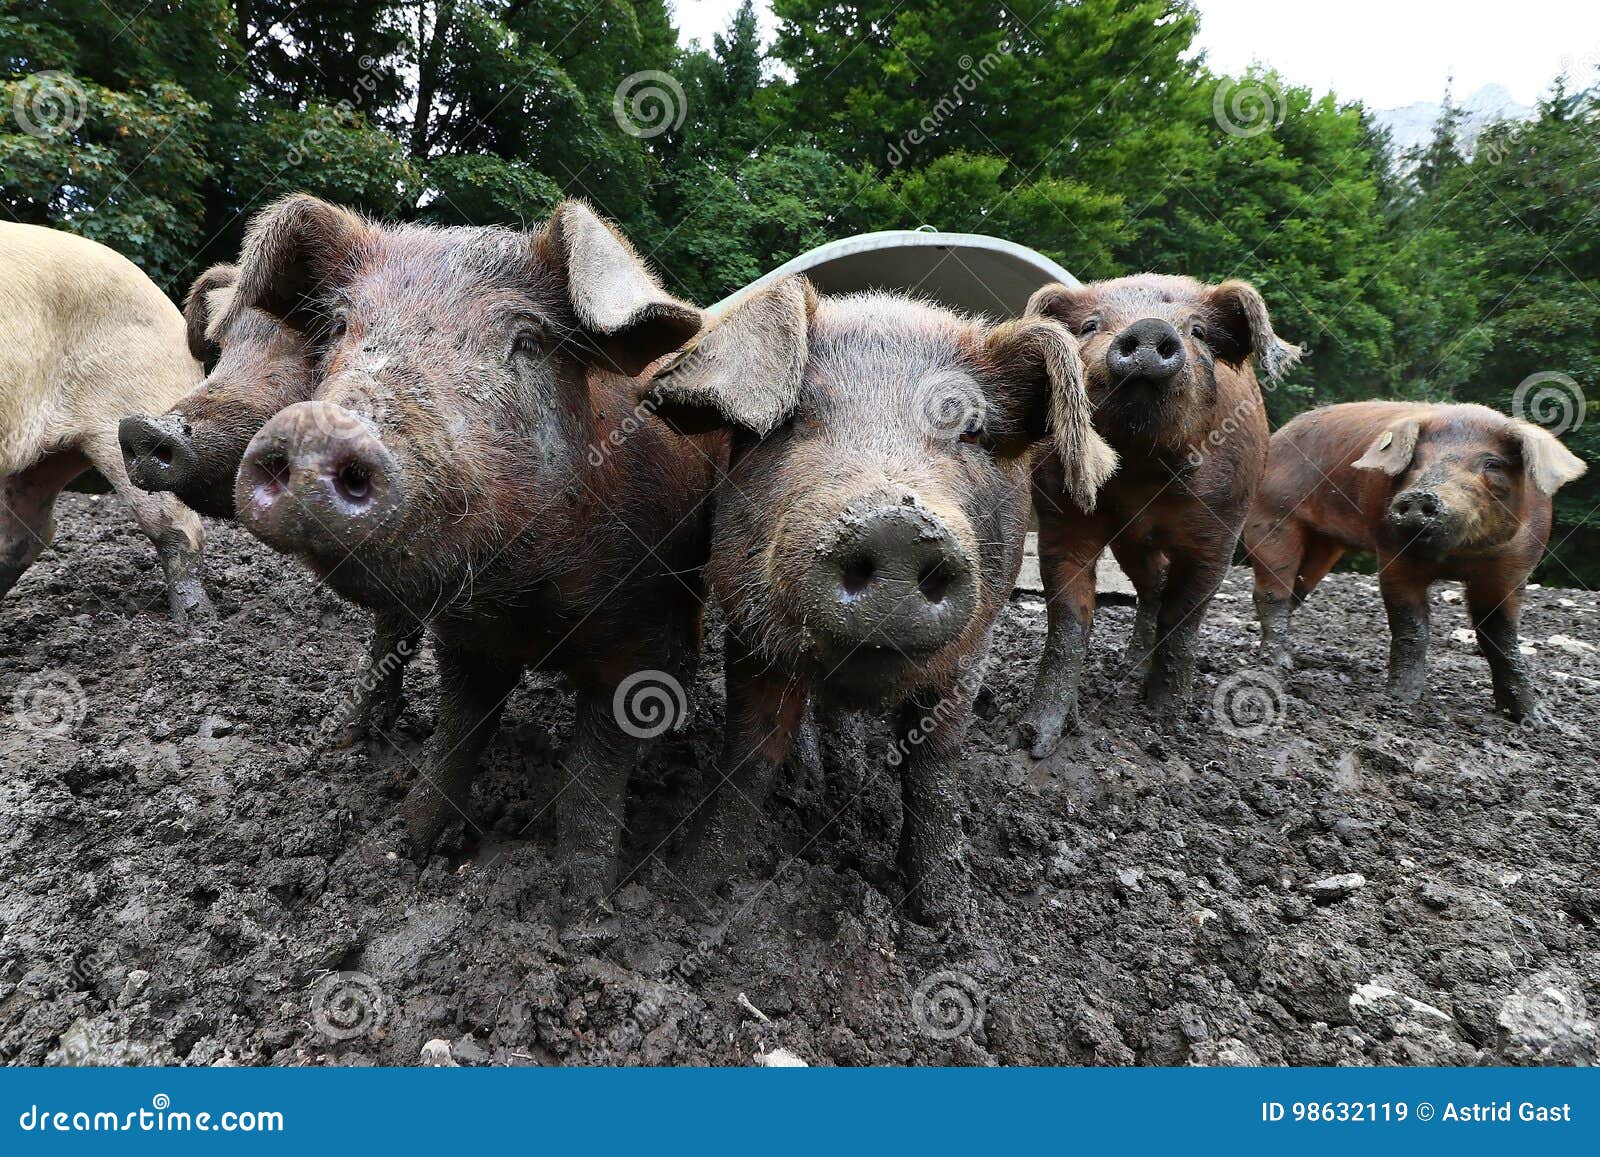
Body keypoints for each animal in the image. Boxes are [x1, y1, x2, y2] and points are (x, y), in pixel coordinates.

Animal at [225, 194, 711, 921]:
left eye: (528, 340)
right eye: (339, 325)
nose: (318, 430)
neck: (528, 603)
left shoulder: (642, 634)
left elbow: (595, 774)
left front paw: (584, 903)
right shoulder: (465, 637)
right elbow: (457, 733)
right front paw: (409, 849)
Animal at [645, 277, 1116, 923]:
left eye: (971, 429)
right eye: (792, 418)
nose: (895, 523)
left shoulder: (975, 646)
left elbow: (935, 764)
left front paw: (944, 918)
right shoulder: (746, 625)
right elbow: (750, 748)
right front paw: (689, 892)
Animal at [1013, 274, 1301, 754]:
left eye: (1198, 331)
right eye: (1090, 325)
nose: (1149, 328)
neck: (1140, 472)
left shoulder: (1220, 535)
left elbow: (1183, 618)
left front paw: (1167, 719)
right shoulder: (1062, 520)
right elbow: (1069, 622)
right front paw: (1033, 741)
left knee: (1160, 591)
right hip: (1130, 545)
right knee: (1151, 588)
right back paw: (1129, 663)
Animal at [1244, 401, 1586, 720]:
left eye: (1492, 464)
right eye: (1416, 461)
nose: (1421, 495)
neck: (1457, 555)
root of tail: (1277, 436)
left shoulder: (1512, 570)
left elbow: (1501, 639)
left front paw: (1536, 720)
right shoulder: (1393, 556)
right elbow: (1412, 627)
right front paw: (1400, 700)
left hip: (1325, 545)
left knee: (1295, 592)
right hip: (1272, 517)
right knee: (1271, 593)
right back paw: (1278, 664)